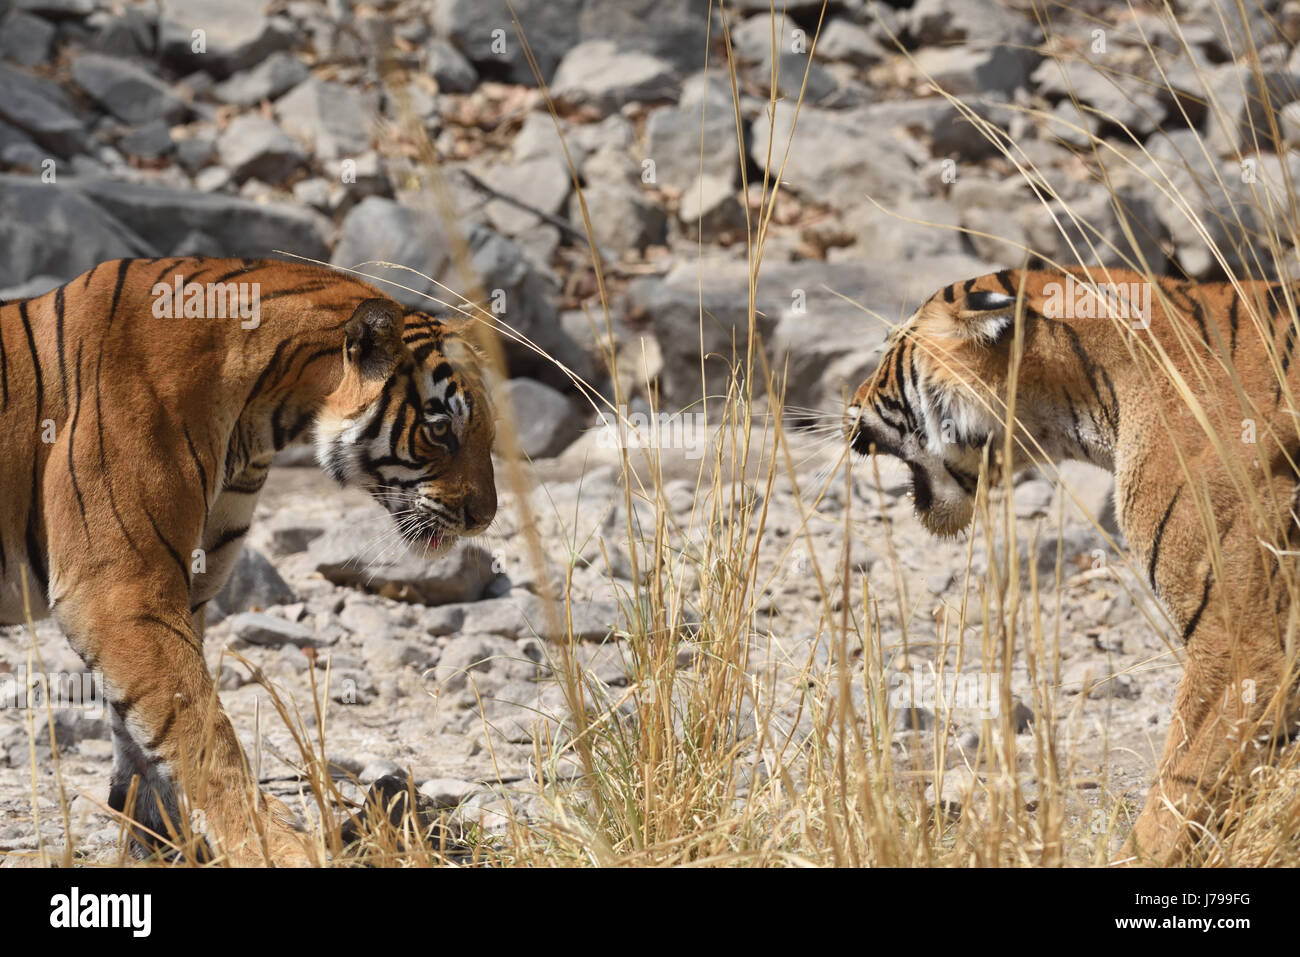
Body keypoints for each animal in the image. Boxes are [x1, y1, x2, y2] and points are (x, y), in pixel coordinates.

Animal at [0, 256, 498, 865]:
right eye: (440, 428)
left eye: (489, 429)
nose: (485, 516)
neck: (261, 416)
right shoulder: (117, 589)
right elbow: (199, 725)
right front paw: (270, 842)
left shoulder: (183, 589)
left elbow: (140, 731)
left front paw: (161, 839)